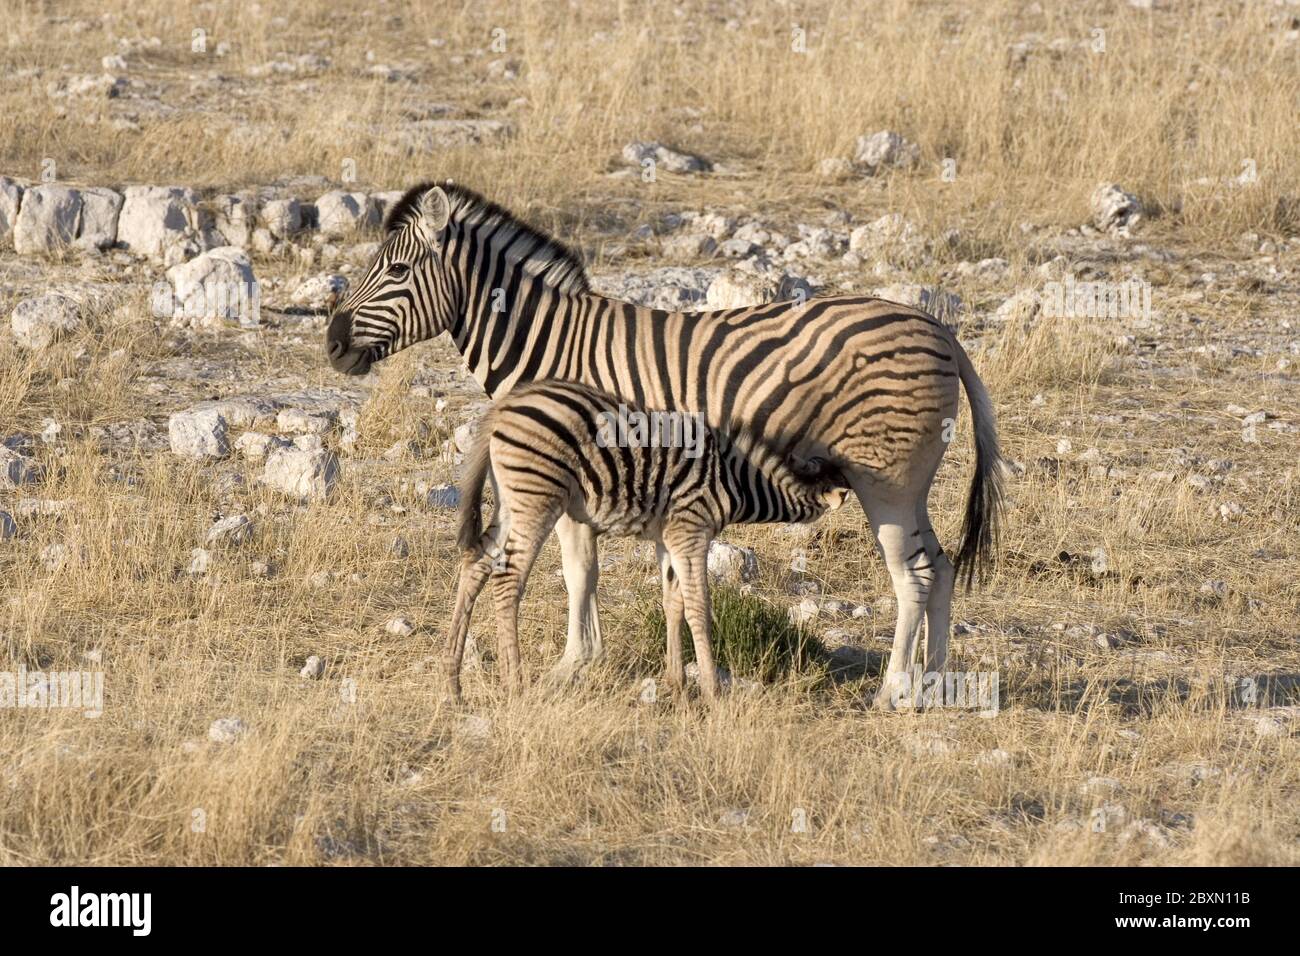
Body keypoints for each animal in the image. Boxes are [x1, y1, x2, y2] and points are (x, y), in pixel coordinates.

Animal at [446, 379, 849, 701]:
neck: (738, 478)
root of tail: (504, 406)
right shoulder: (691, 530)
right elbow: (698, 606)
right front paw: (711, 691)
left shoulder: (667, 537)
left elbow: (673, 602)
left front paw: (676, 683)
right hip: (537, 496)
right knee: (507, 578)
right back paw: (514, 684)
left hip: (509, 499)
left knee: (477, 563)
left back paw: (453, 680)